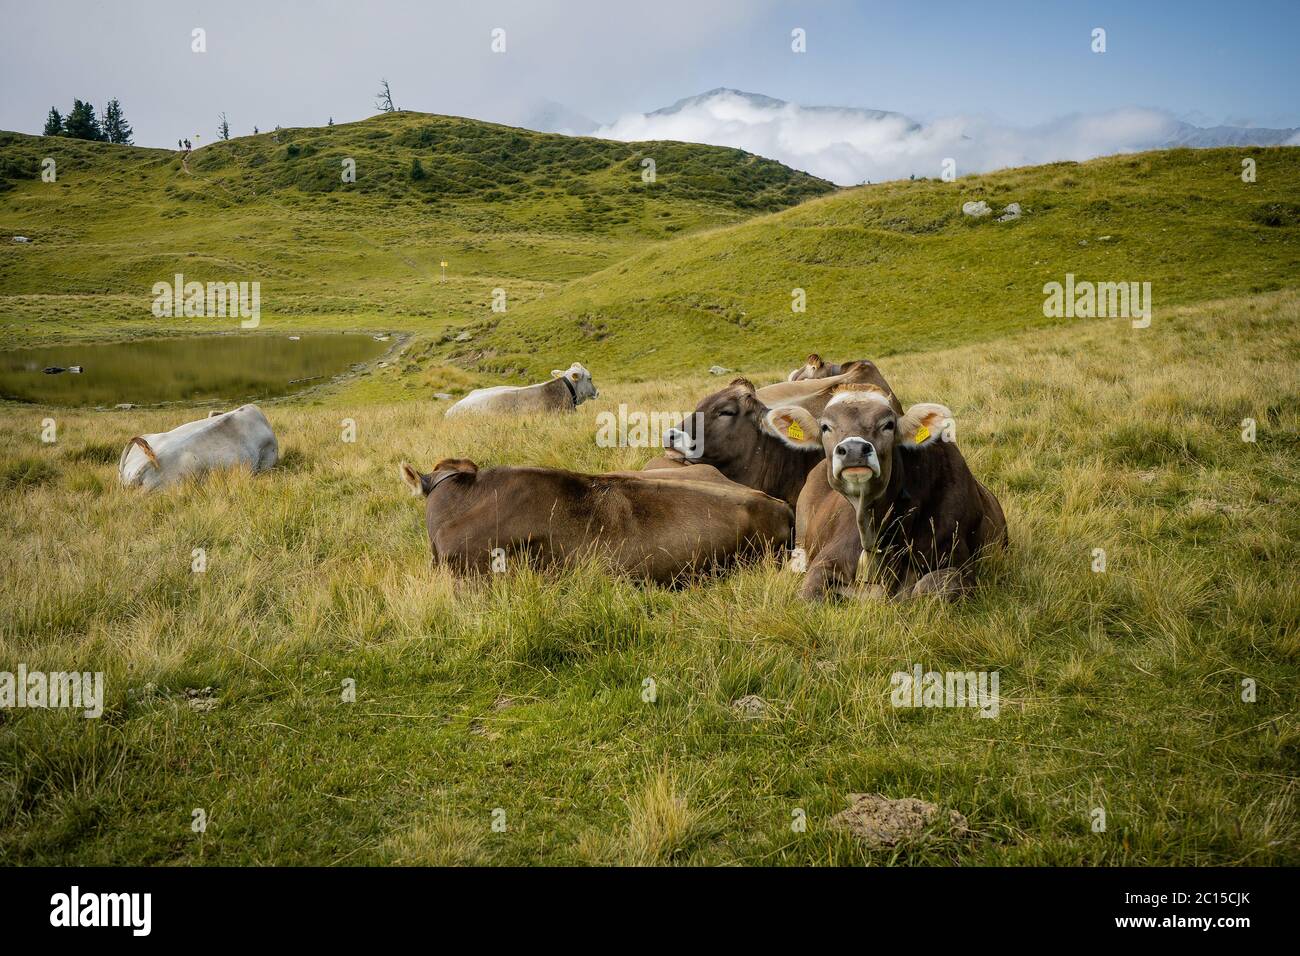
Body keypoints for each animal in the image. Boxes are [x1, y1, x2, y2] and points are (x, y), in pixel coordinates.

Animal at [774, 384, 1007, 601]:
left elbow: (928, 586)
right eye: (825, 427)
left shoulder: (961, 564)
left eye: (888, 424)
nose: (854, 450)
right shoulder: (825, 561)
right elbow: (809, 596)